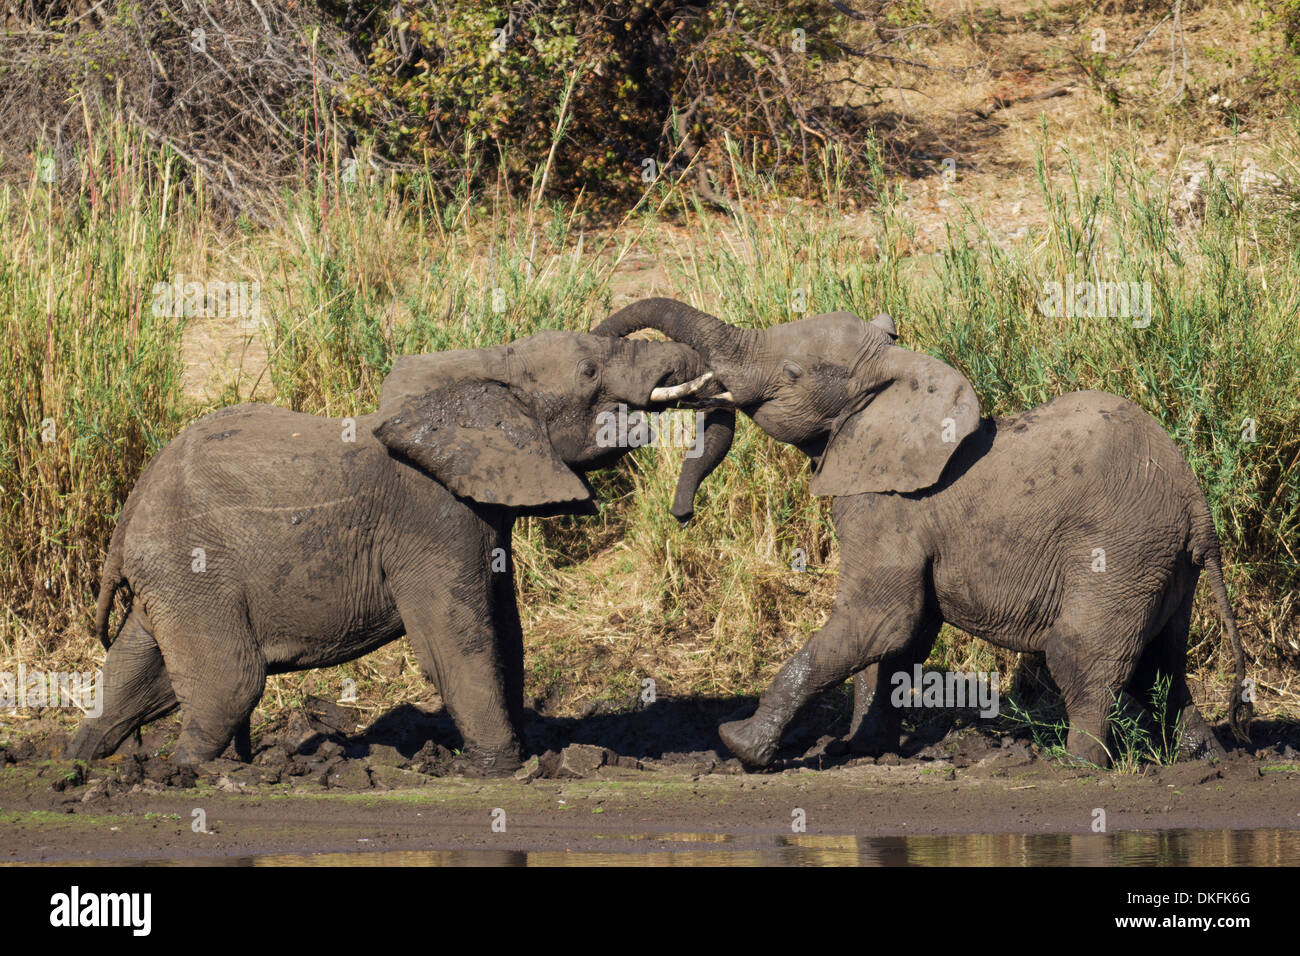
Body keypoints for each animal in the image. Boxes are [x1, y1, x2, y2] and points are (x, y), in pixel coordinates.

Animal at [69, 329, 716, 773]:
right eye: (587, 371)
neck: (486, 367)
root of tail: (130, 510)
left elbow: (507, 634)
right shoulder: (432, 518)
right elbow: (456, 640)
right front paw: (503, 770)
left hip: (171, 573)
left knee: (138, 668)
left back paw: (78, 766)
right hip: (192, 565)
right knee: (232, 680)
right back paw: (196, 773)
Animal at [593, 298, 1251, 769]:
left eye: (793, 371)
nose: (682, 516)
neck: (899, 376)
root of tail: (1197, 504)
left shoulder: (887, 507)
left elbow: (882, 620)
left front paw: (739, 745)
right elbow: (900, 638)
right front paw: (858, 750)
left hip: (1118, 550)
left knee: (1082, 656)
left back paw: (1075, 767)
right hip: (1165, 563)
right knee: (1161, 665)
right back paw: (1207, 761)